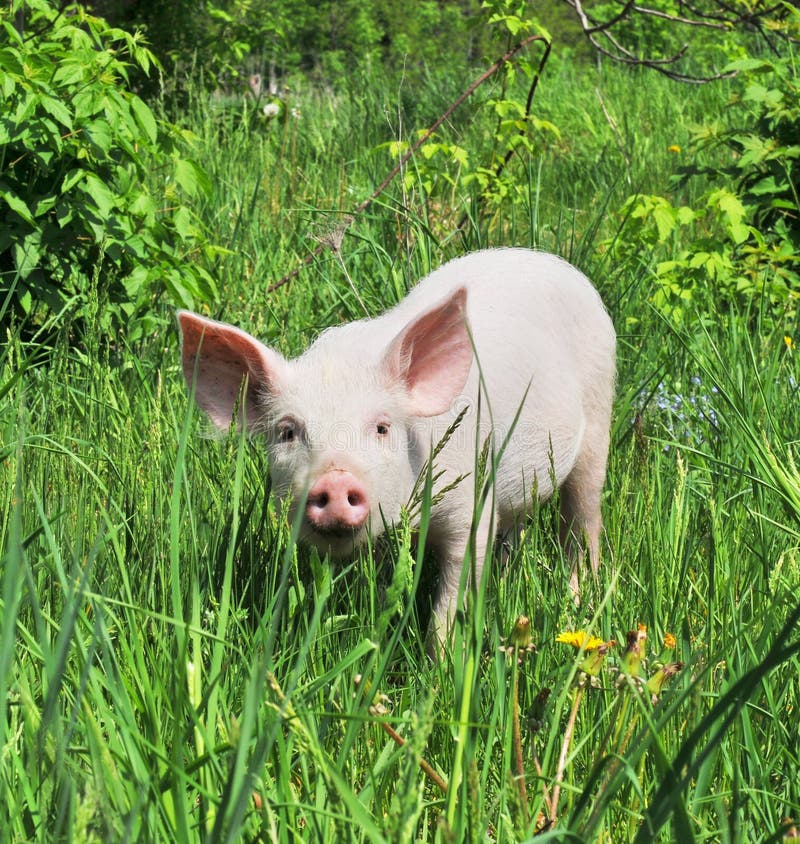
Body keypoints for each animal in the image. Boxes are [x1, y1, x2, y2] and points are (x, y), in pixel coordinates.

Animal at [178, 248, 616, 646]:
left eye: (382, 427)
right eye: (287, 431)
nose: (335, 480)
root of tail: (545, 258)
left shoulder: (468, 499)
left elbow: (456, 585)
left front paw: (441, 663)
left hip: (599, 416)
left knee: (583, 519)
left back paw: (578, 601)